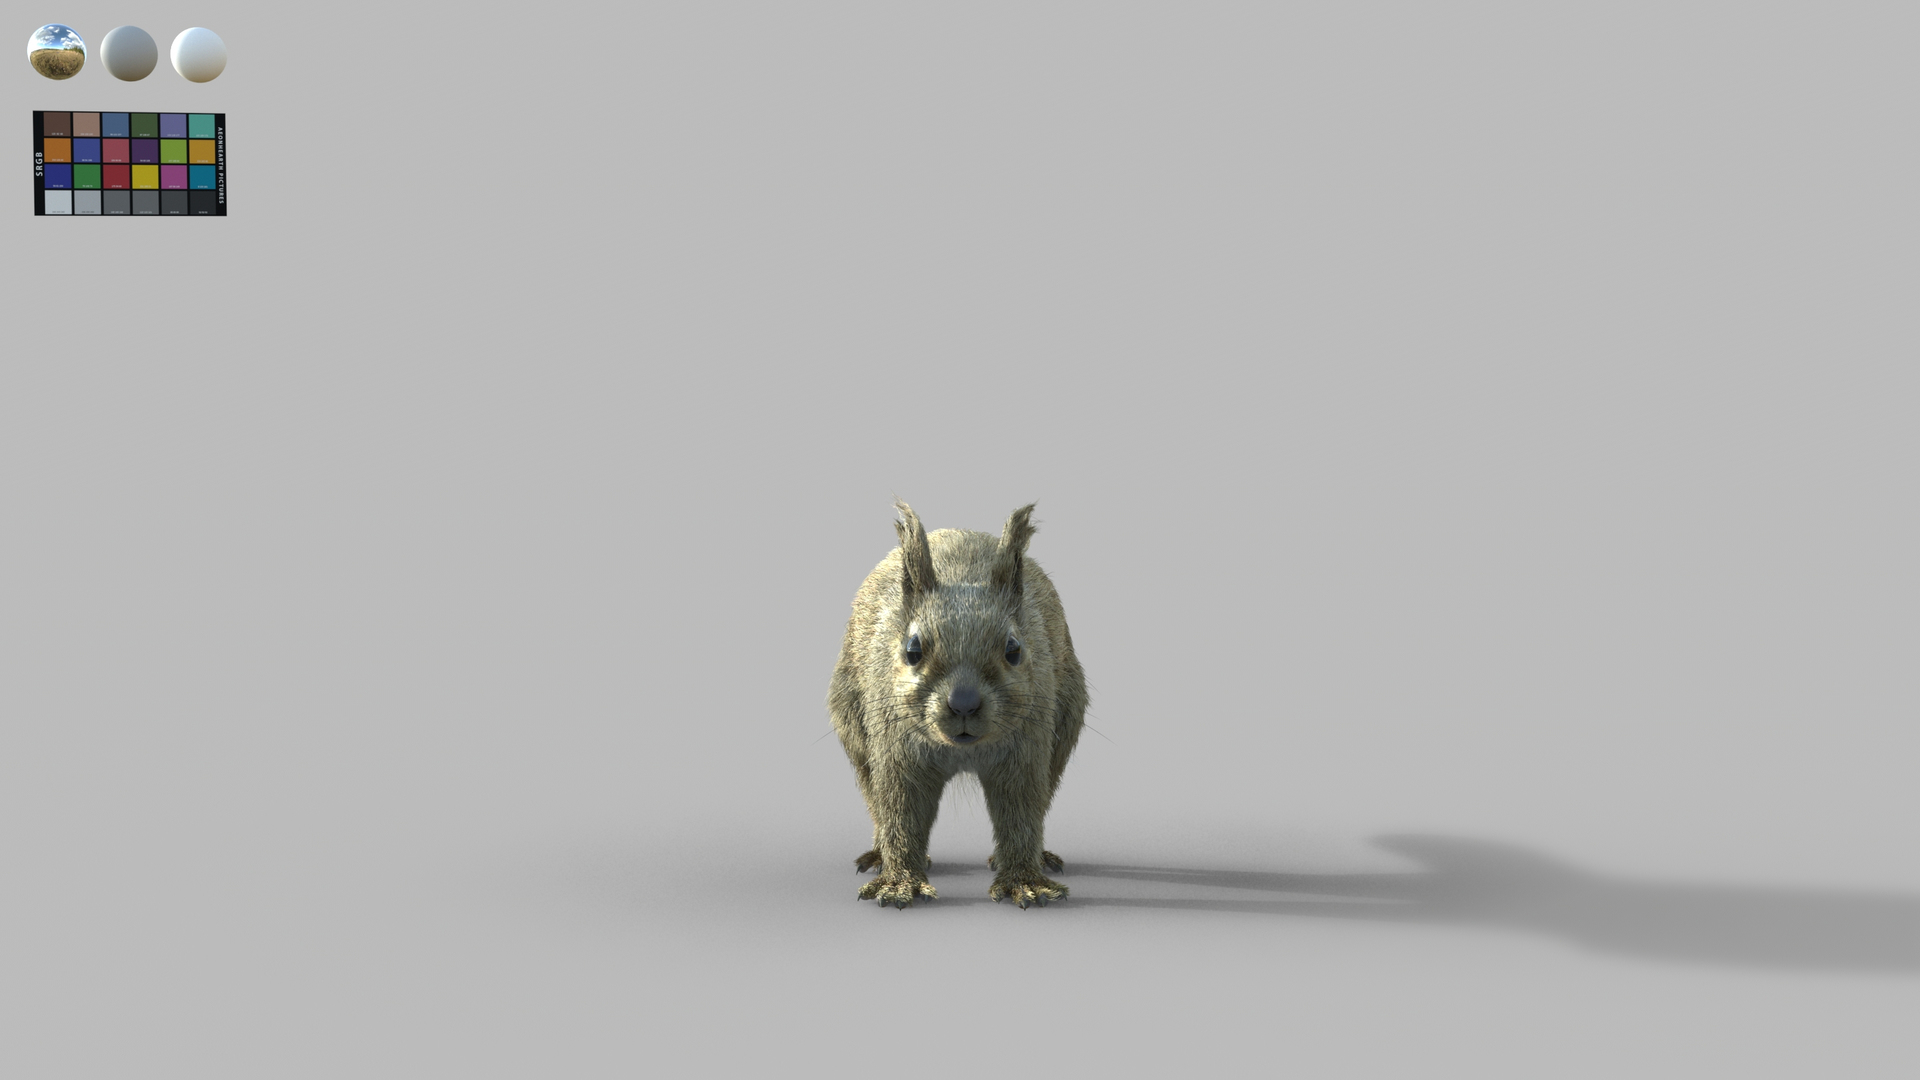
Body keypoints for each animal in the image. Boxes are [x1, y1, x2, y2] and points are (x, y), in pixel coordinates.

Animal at [828, 500, 1088, 909]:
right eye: (912, 650)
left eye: (1014, 650)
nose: (963, 704)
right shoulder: (894, 741)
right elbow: (900, 808)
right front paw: (900, 883)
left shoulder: (1029, 741)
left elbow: (1022, 808)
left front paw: (1026, 882)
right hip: (853, 724)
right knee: (874, 795)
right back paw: (880, 855)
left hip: (1065, 722)